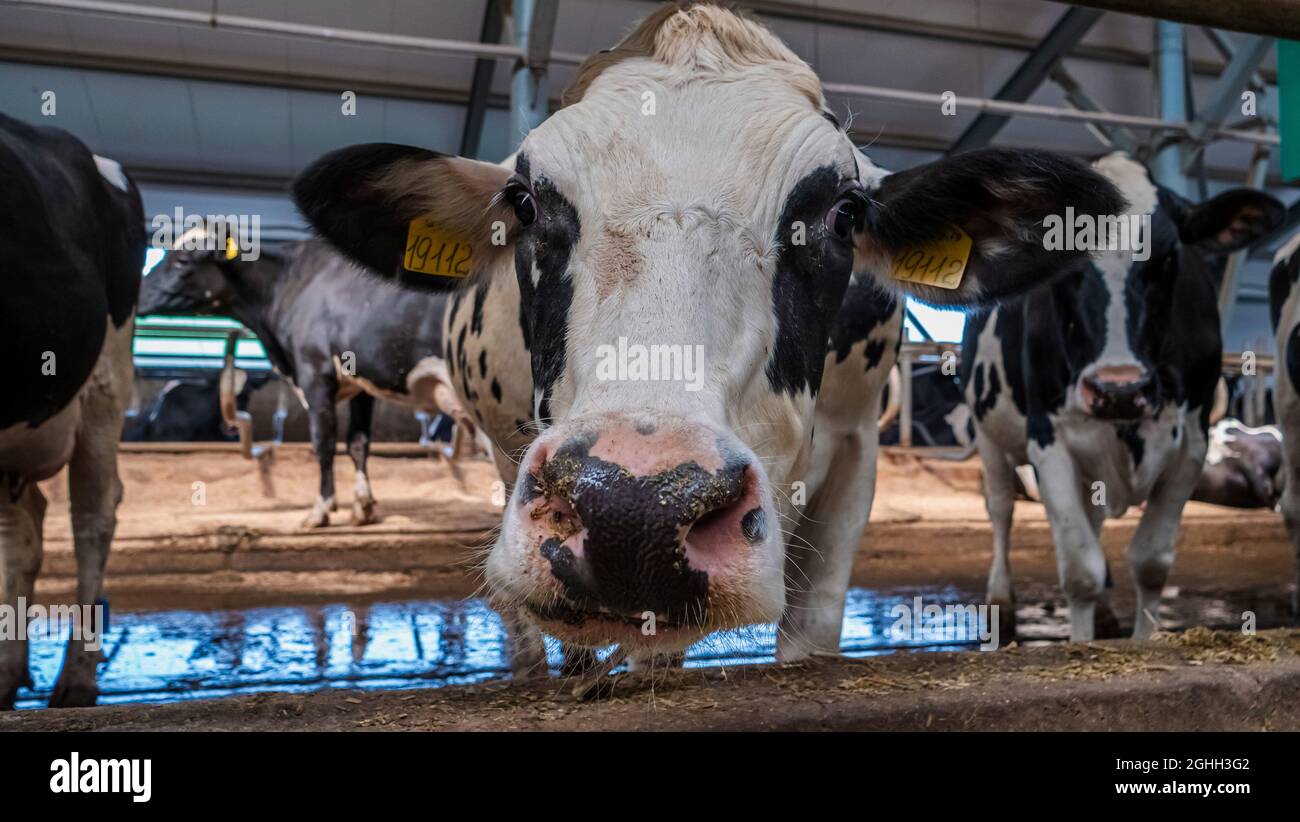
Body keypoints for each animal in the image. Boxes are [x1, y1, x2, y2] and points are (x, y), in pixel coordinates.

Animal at [138, 237, 473, 527]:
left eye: (182, 260)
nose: (138, 293)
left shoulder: (315, 374)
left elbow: (323, 442)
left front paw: (320, 510)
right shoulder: (360, 383)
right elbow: (358, 443)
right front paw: (362, 508)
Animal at [962, 151, 1284, 643]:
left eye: (1169, 257)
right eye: (1062, 259)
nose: (1119, 388)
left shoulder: (1192, 442)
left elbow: (1150, 564)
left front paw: (1141, 639)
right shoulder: (1047, 437)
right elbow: (1080, 570)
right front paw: (1079, 642)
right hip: (988, 431)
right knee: (1000, 510)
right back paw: (1002, 606)